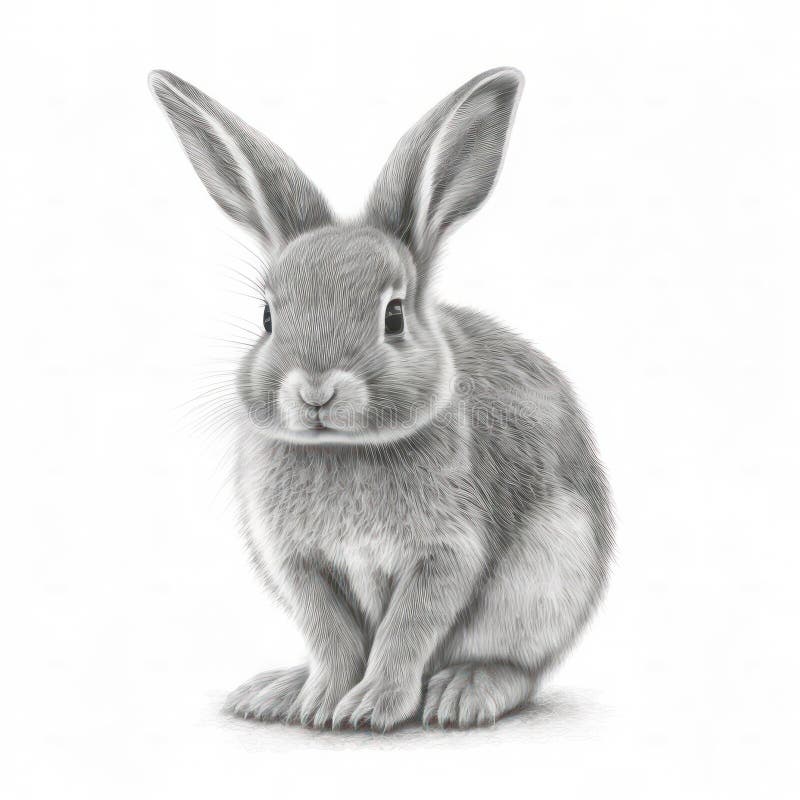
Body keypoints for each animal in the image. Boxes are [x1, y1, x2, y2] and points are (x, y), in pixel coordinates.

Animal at [149, 66, 613, 731]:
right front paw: (323, 701)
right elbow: (330, 632)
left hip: (549, 578)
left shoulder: (446, 553)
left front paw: (370, 708)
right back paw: (278, 690)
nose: (315, 390)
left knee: (520, 668)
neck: (343, 449)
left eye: (393, 316)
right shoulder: (296, 563)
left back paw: (465, 691)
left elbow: (407, 629)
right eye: (267, 317)